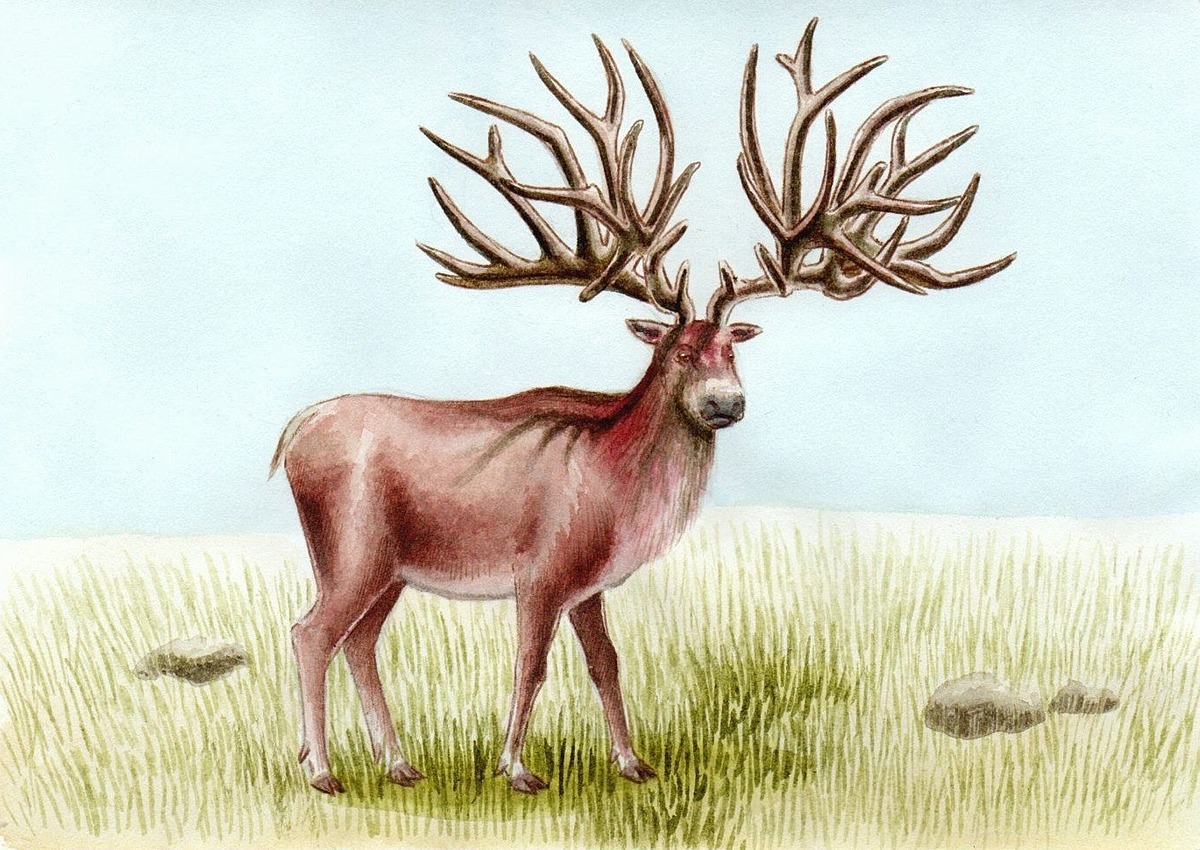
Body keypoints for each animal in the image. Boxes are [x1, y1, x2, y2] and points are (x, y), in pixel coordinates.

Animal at [270, 18, 1014, 796]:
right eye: (679, 352)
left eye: (732, 351)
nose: (728, 403)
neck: (615, 484)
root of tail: (293, 432)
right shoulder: (542, 571)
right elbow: (531, 666)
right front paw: (517, 769)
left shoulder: (588, 586)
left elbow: (607, 663)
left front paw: (631, 762)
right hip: (352, 545)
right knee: (310, 632)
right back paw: (321, 770)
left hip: (390, 567)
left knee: (358, 641)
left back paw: (398, 763)